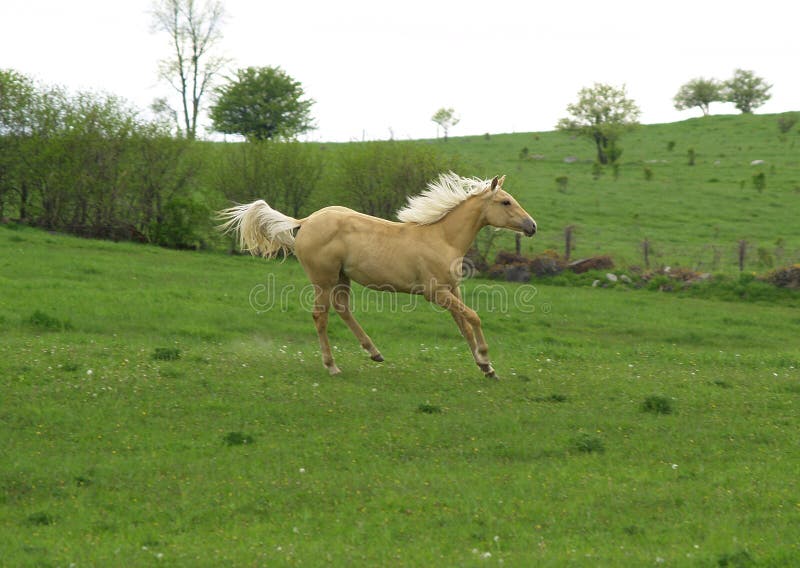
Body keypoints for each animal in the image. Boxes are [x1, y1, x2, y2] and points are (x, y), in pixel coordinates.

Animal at [218, 172, 537, 379]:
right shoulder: (436, 293)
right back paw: (332, 366)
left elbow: (464, 325)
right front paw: (486, 358)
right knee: (320, 316)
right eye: (506, 202)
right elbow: (474, 318)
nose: (532, 226)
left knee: (342, 309)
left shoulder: (452, 290)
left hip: (342, 278)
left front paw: (486, 368)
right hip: (323, 280)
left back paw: (374, 352)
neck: (443, 238)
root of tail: (304, 221)